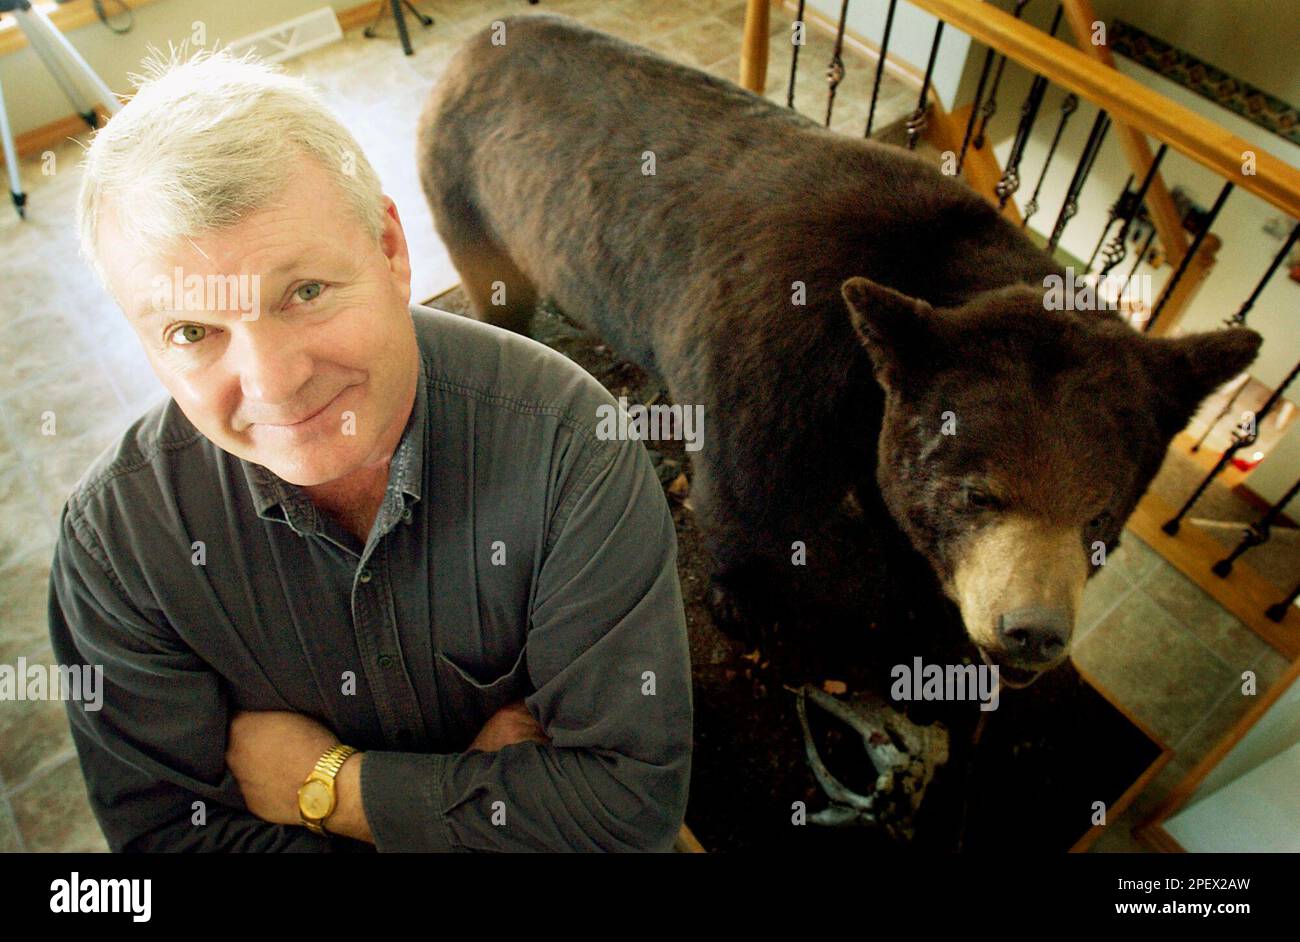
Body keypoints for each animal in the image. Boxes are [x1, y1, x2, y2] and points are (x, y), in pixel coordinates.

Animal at [416, 13, 1261, 686]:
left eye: (1101, 518)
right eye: (978, 493)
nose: (1032, 633)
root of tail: (474, 41)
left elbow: (894, 496)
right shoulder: (782, 365)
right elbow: (746, 494)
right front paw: (747, 602)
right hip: (466, 183)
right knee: (493, 281)